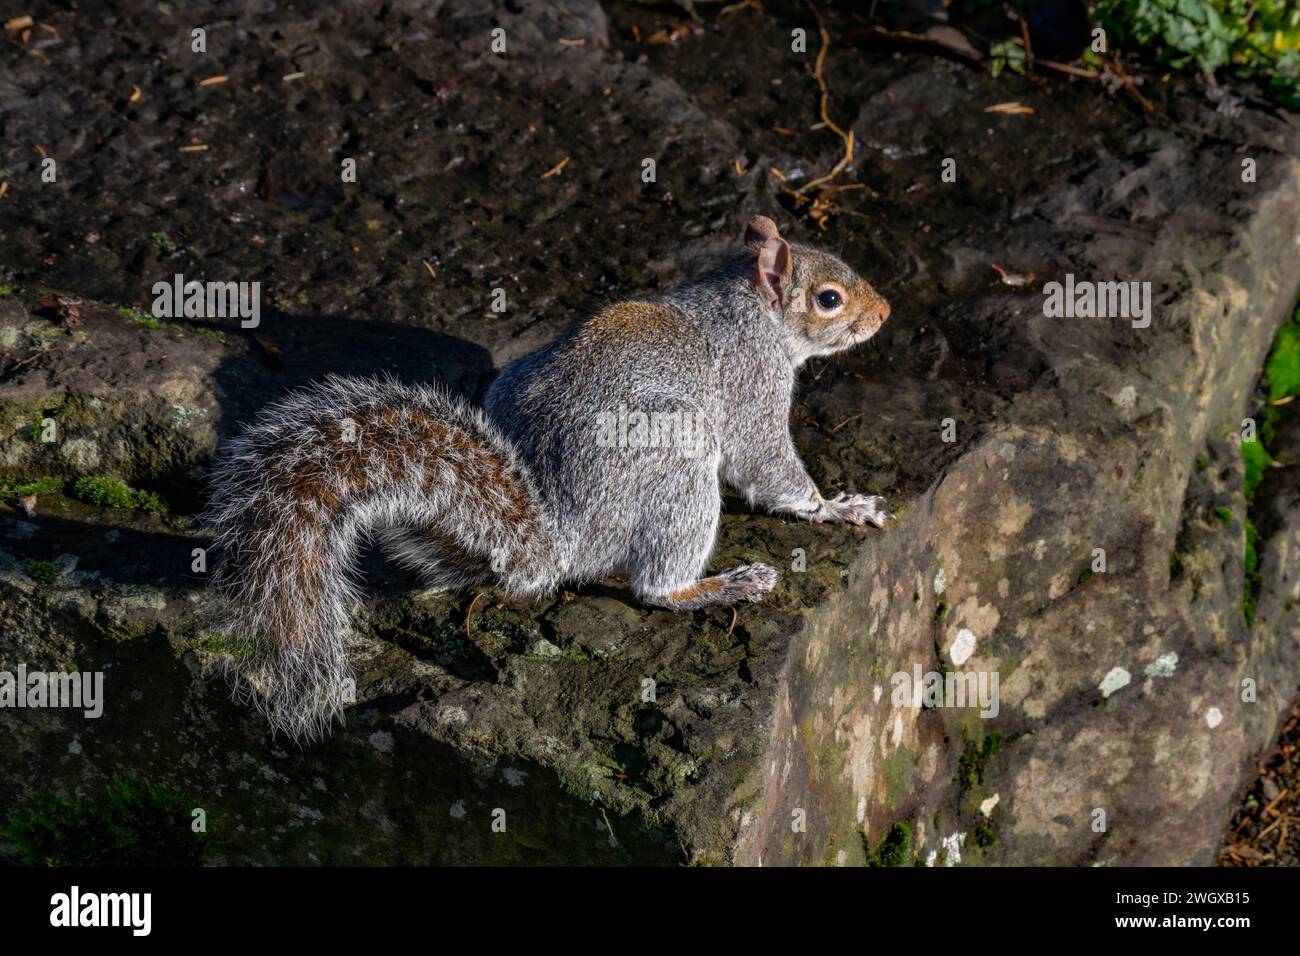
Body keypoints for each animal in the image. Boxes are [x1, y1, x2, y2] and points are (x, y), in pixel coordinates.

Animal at [203, 215, 892, 740]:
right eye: (830, 298)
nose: (885, 311)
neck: (747, 308)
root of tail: (562, 539)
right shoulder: (752, 384)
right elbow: (767, 464)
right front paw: (836, 507)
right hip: (677, 463)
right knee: (654, 587)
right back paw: (719, 586)